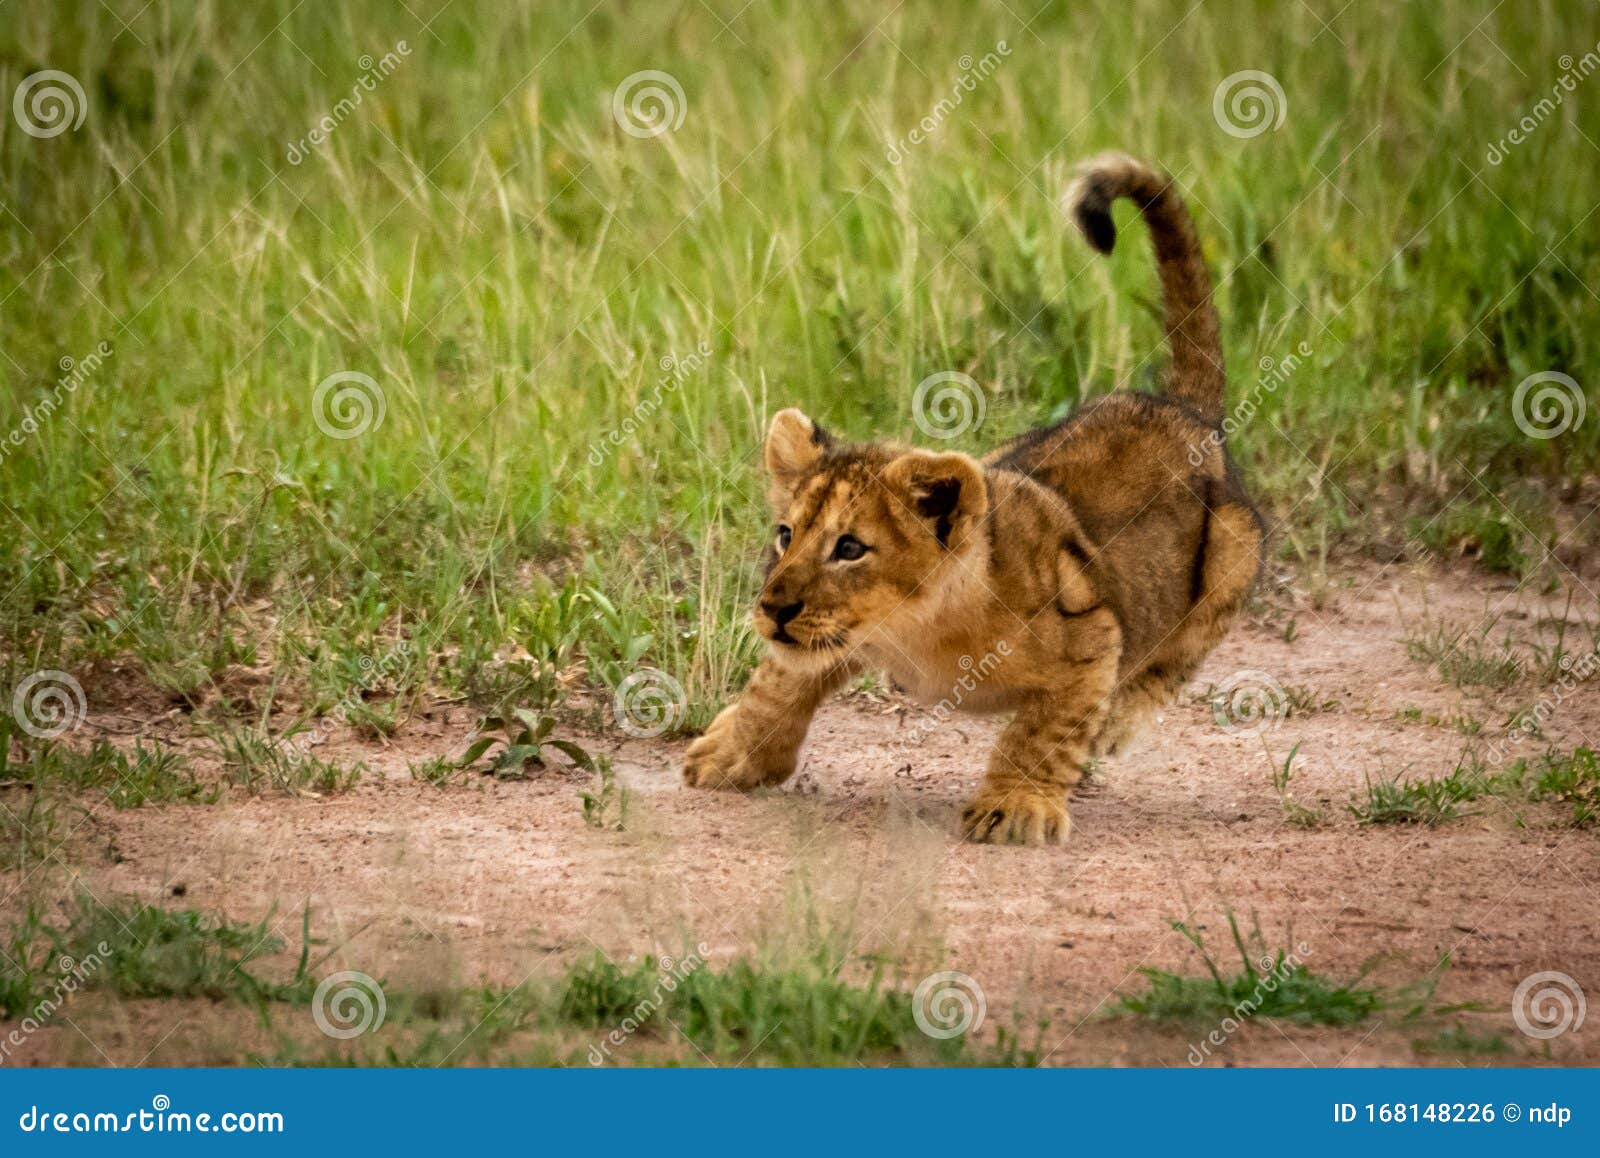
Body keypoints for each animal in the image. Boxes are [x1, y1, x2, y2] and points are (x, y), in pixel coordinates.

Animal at [682, 152, 1264, 845]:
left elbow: (1044, 731)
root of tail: (1184, 408)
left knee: (1172, 658)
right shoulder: (830, 640)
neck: (917, 628)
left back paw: (1116, 723)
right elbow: (776, 685)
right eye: (786, 535)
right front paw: (725, 753)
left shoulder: (1091, 631)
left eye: (849, 547)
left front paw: (1013, 809)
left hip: (1233, 548)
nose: (773, 609)